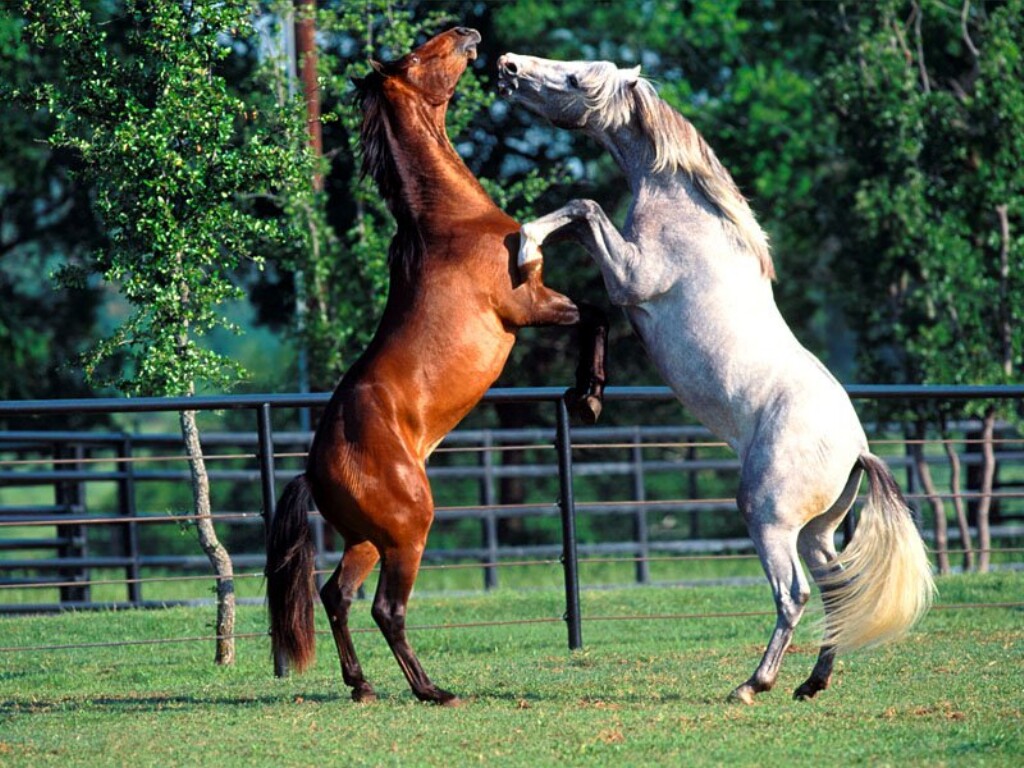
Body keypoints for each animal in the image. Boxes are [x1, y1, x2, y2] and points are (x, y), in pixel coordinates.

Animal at [266, 28, 608, 707]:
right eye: (417, 56)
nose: (466, 33)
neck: (452, 222)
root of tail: (314, 470)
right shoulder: (528, 305)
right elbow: (598, 311)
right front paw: (587, 394)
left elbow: (596, 312)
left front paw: (586, 393)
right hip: (409, 531)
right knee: (385, 609)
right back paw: (432, 690)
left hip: (368, 539)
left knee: (335, 596)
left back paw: (363, 686)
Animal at [497, 52, 935, 704]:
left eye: (575, 78)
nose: (506, 66)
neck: (689, 211)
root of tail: (857, 448)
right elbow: (578, 215)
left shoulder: (631, 276)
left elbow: (583, 208)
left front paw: (525, 244)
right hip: (817, 531)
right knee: (836, 588)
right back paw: (812, 683)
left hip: (768, 517)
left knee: (794, 594)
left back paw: (754, 684)